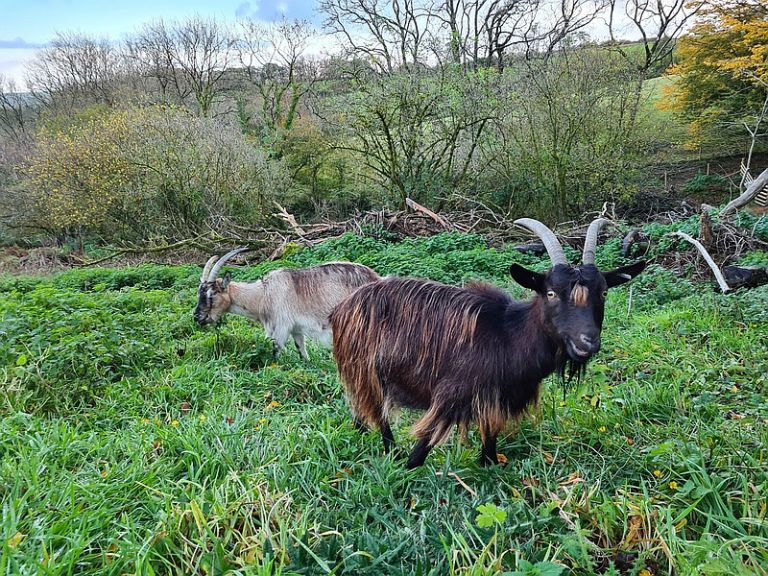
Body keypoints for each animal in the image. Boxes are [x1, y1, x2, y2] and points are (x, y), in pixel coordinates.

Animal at [194, 248, 380, 360]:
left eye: (212, 293)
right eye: (199, 293)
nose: (197, 316)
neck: (263, 294)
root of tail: (376, 278)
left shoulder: (281, 326)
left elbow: (275, 351)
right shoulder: (296, 329)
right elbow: (301, 350)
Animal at [330, 219, 646, 468]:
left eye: (604, 292)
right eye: (551, 293)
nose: (587, 343)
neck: (509, 335)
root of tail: (344, 306)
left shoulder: (497, 400)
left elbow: (490, 446)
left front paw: (488, 463)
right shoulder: (450, 395)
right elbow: (420, 451)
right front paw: (406, 470)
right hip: (366, 374)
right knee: (379, 417)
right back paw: (391, 452)